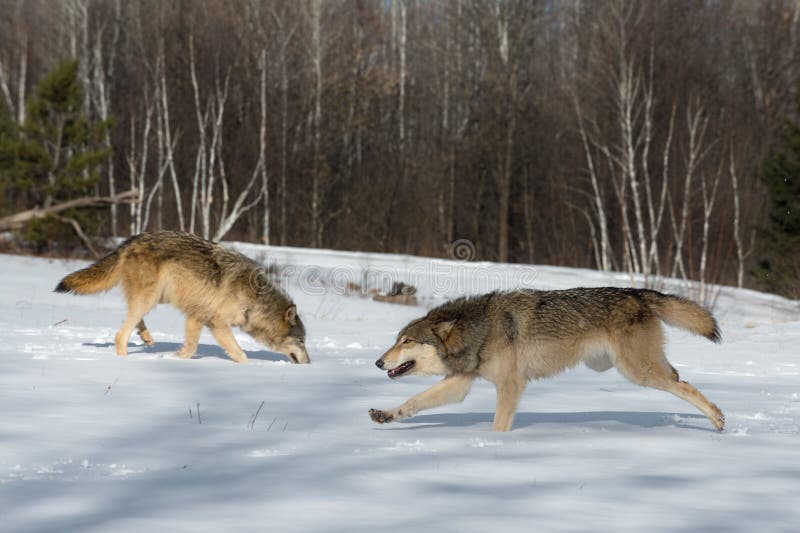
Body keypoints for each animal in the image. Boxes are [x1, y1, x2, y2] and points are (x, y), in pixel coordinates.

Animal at [55, 231, 309, 364]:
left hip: (157, 298)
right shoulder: (215, 322)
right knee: (120, 335)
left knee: (133, 319)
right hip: (149, 298)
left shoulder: (196, 318)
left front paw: (174, 356)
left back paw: (147, 338)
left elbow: (192, 348)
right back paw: (126, 361)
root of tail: (130, 240)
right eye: (302, 341)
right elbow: (239, 353)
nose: (309, 363)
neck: (255, 301)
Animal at [370, 287, 724, 431]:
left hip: (639, 372)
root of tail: (637, 292)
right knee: (679, 377)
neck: (480, 329)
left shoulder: (510, 384)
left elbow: (499, 424)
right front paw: (385, 415)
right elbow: (414, 402)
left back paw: (718, 419)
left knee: (685, 385)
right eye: (396, 340)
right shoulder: (461, 383)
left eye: (406, 341)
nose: (378, 363)